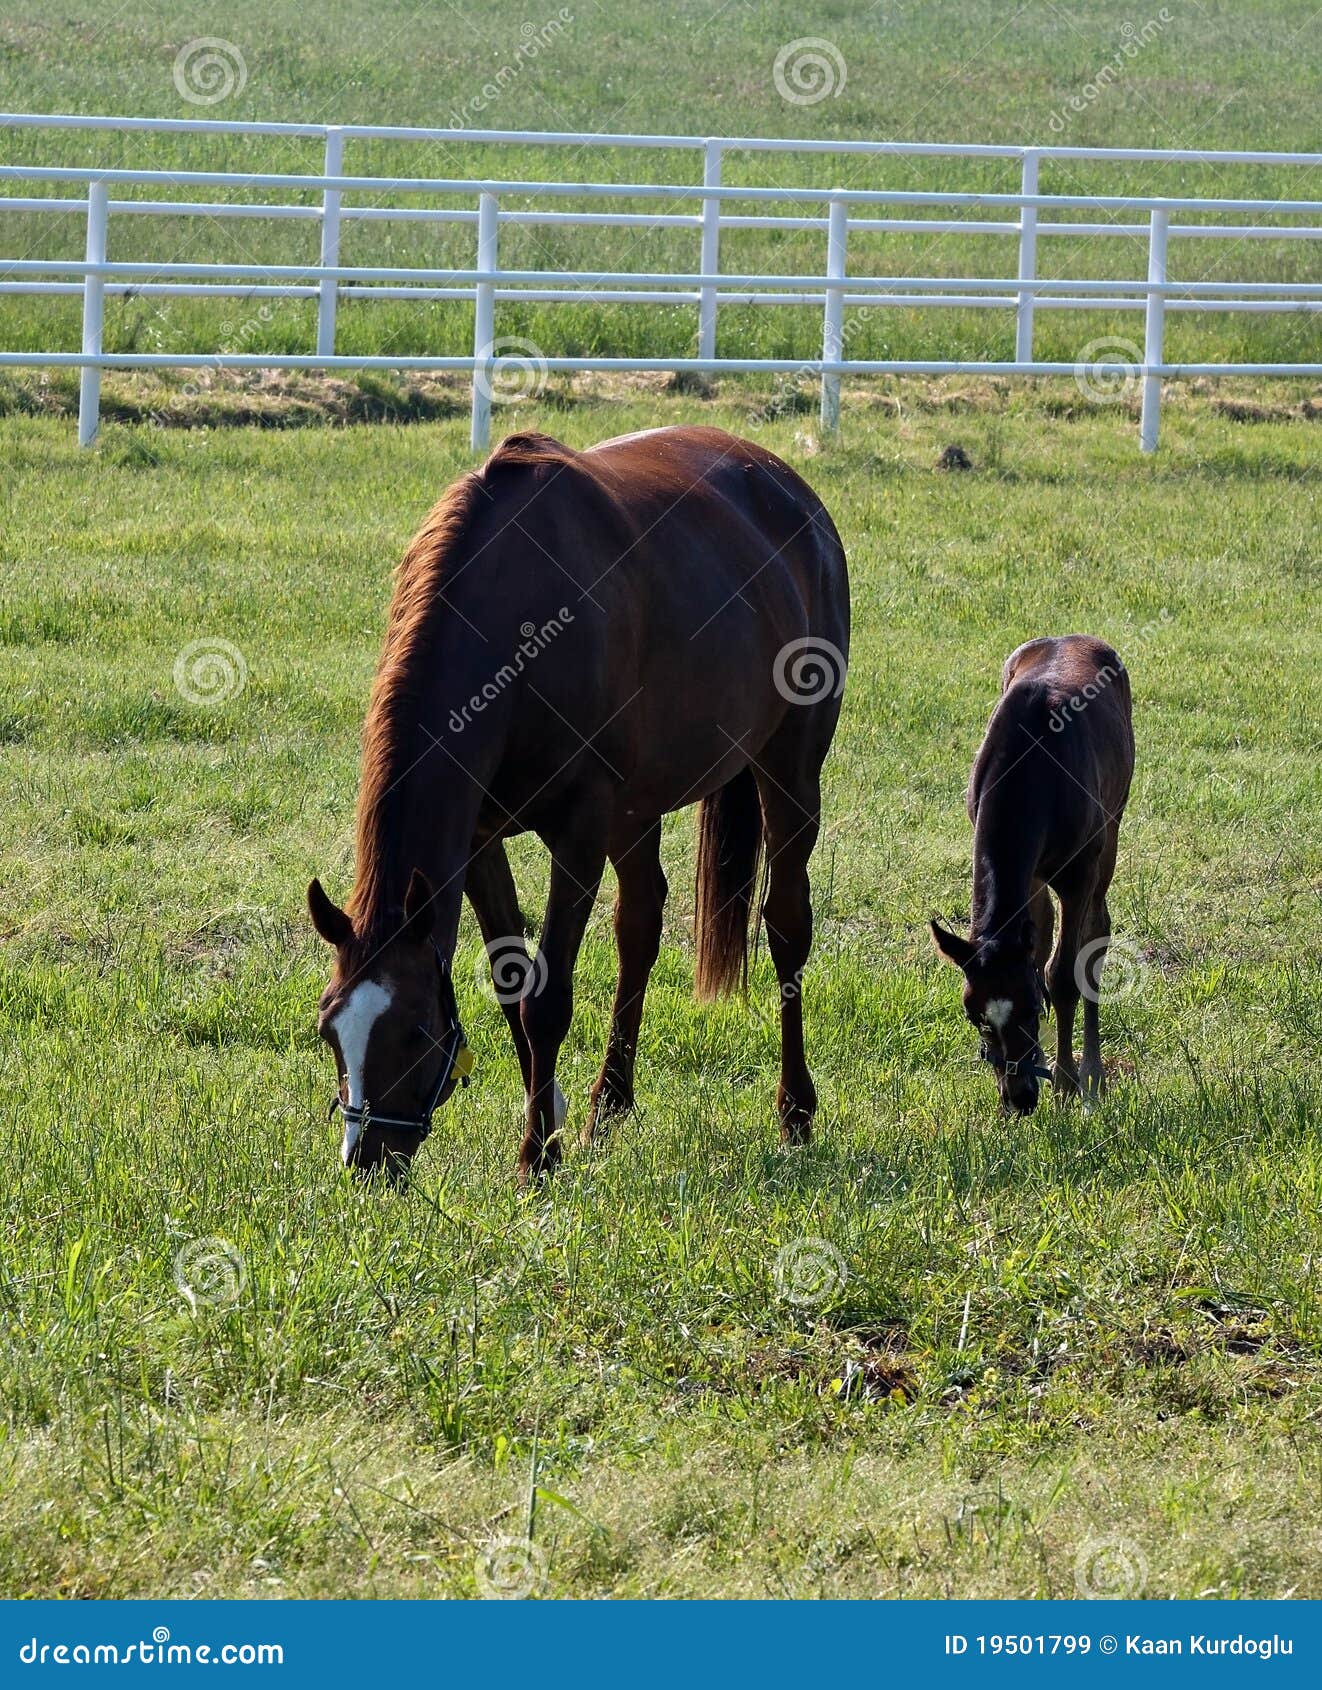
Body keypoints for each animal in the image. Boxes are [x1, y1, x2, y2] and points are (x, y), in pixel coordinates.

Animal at [307, 426, 850, 1182]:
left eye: (414, 1032)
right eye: (331, 1029)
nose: (368, 1160)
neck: (514, 630)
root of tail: (792, 492)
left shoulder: (580, 829)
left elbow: (546, 1000)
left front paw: (537, 1157)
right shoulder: (478, 838)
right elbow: (511, 979)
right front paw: (553, 1116)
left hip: (789, 770)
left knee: (787, 927)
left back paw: (795, 1111)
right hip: (637, 810)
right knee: (641, 922)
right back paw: (610, 1103)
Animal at [930, 635, 1134, 1113]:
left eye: (1030, 1009)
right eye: (975, 1016)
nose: (1019, 1098)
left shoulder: (1078, 873)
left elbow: (1063, 974)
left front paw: (1066, 1082)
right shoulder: (1032, 873)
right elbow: (1039, 955)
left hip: (1111, 826)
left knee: (1097, 931)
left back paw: (1092, 1071)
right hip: (1039, 875)